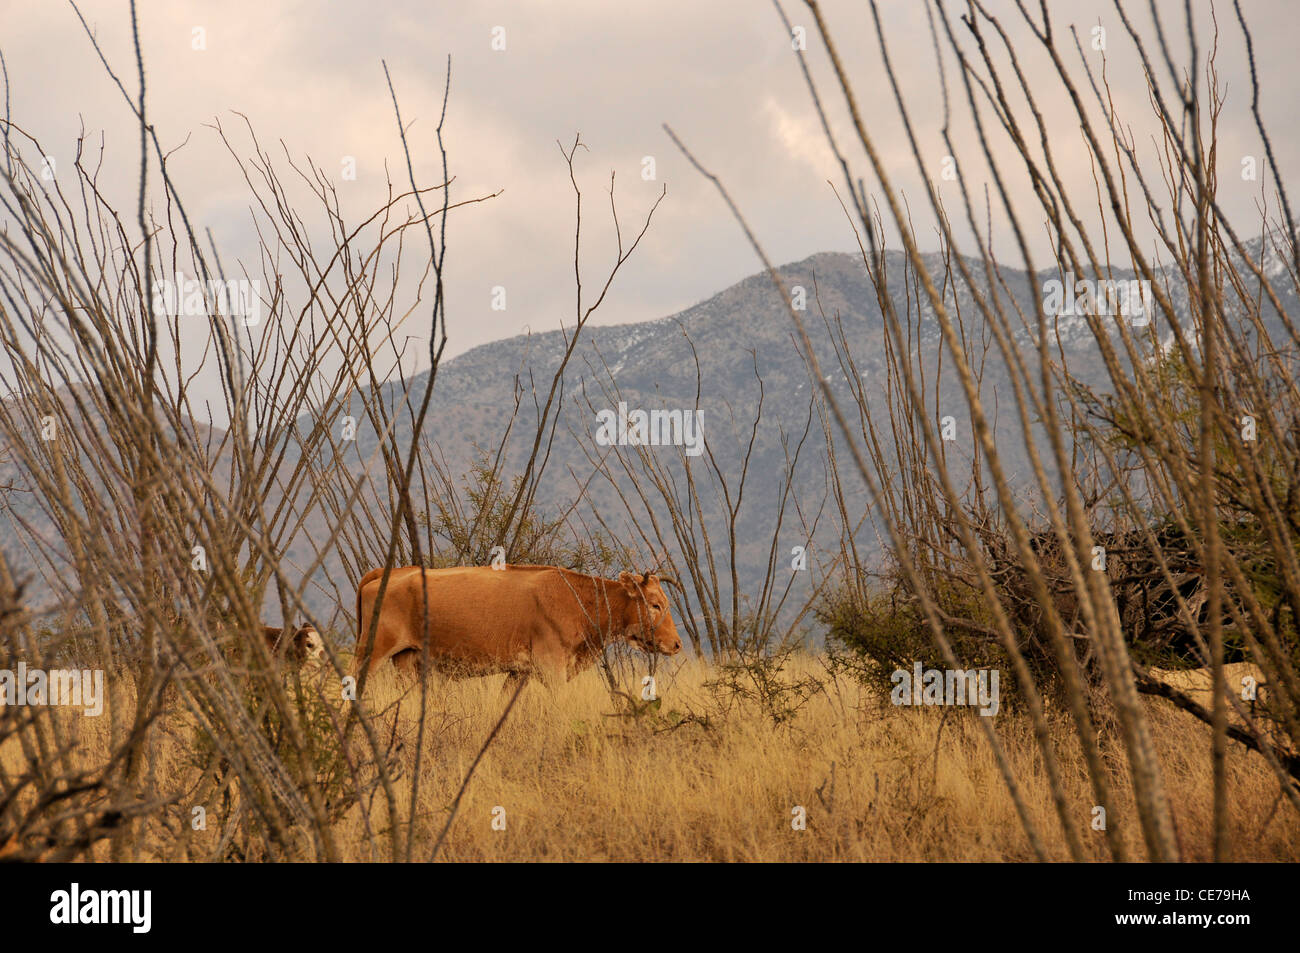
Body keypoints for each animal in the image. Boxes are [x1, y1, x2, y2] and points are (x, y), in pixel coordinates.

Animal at [352, 564, 683, 689]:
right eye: (655, 604)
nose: (677, 644)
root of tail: (394, 570)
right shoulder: (552, 668)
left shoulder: (519, 672)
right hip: (371, 652)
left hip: (405, 661)